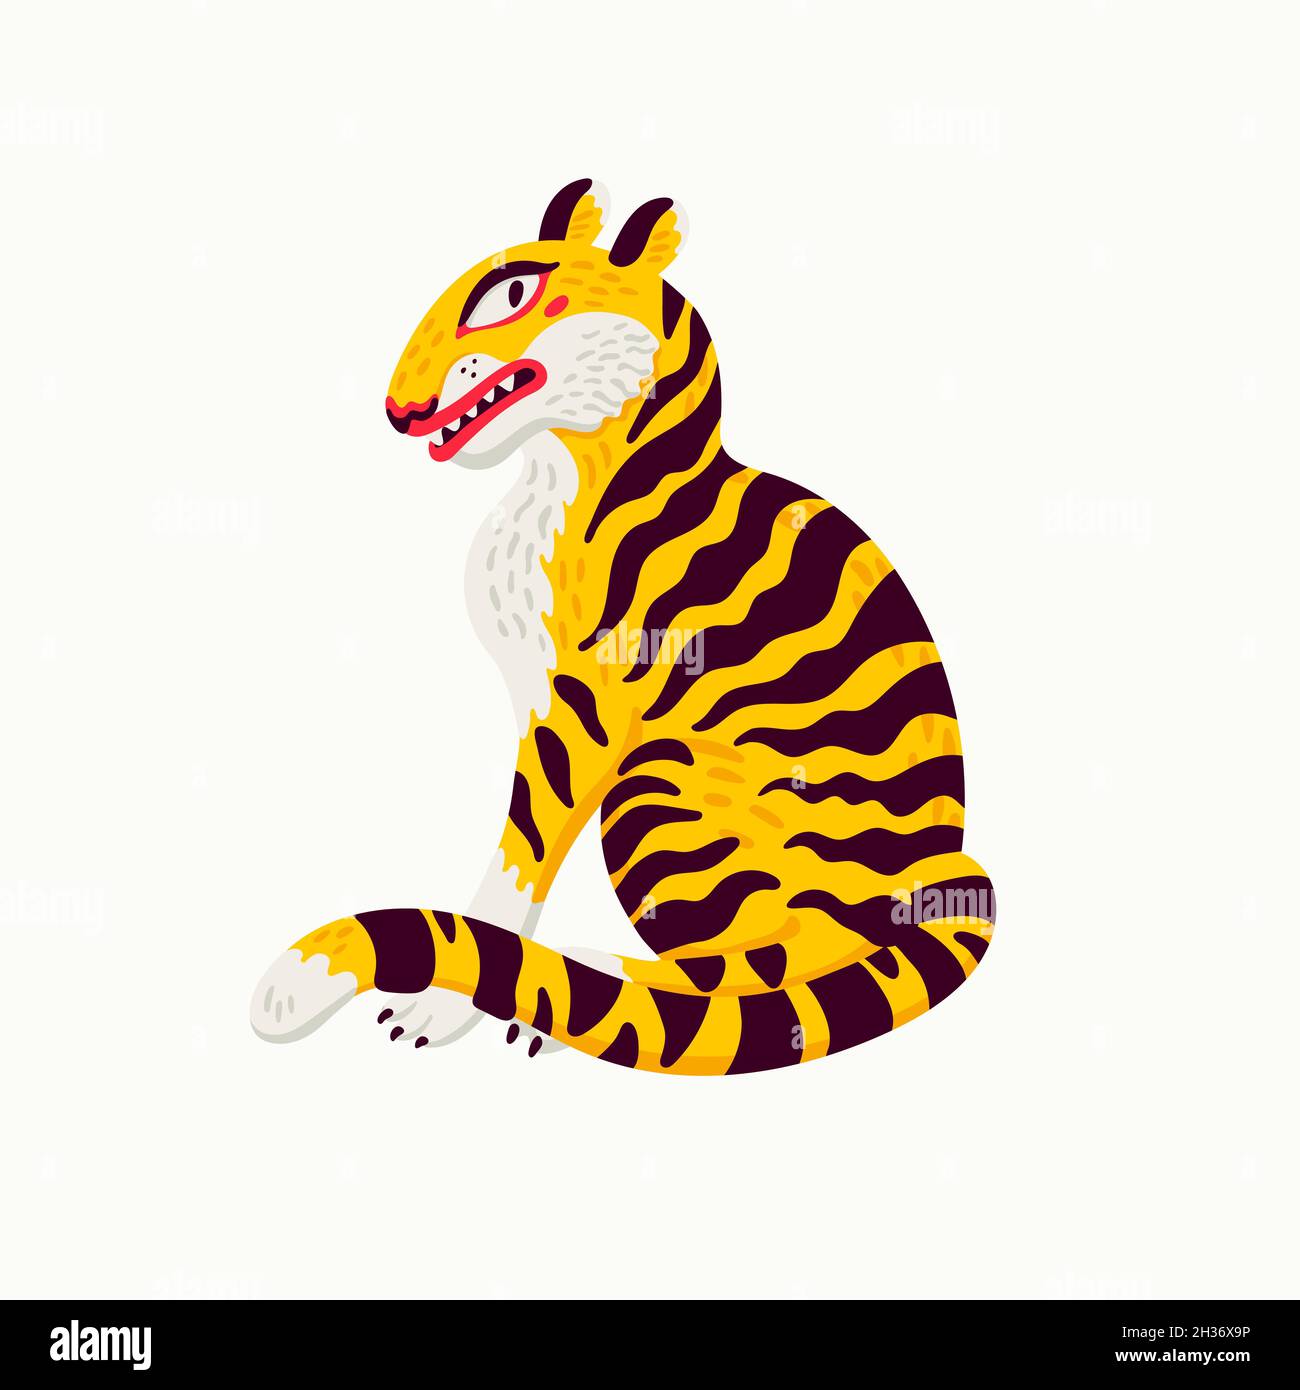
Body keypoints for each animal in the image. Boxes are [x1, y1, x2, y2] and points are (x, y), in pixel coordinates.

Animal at [249, 179, 997, 1075]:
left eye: (511, 294)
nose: (399, 410)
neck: (573, 472)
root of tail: (944, 886)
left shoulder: (582, 714)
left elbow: (520, 855)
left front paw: (450, 998)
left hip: (656, 780)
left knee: (761, 968)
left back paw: (566, 988)